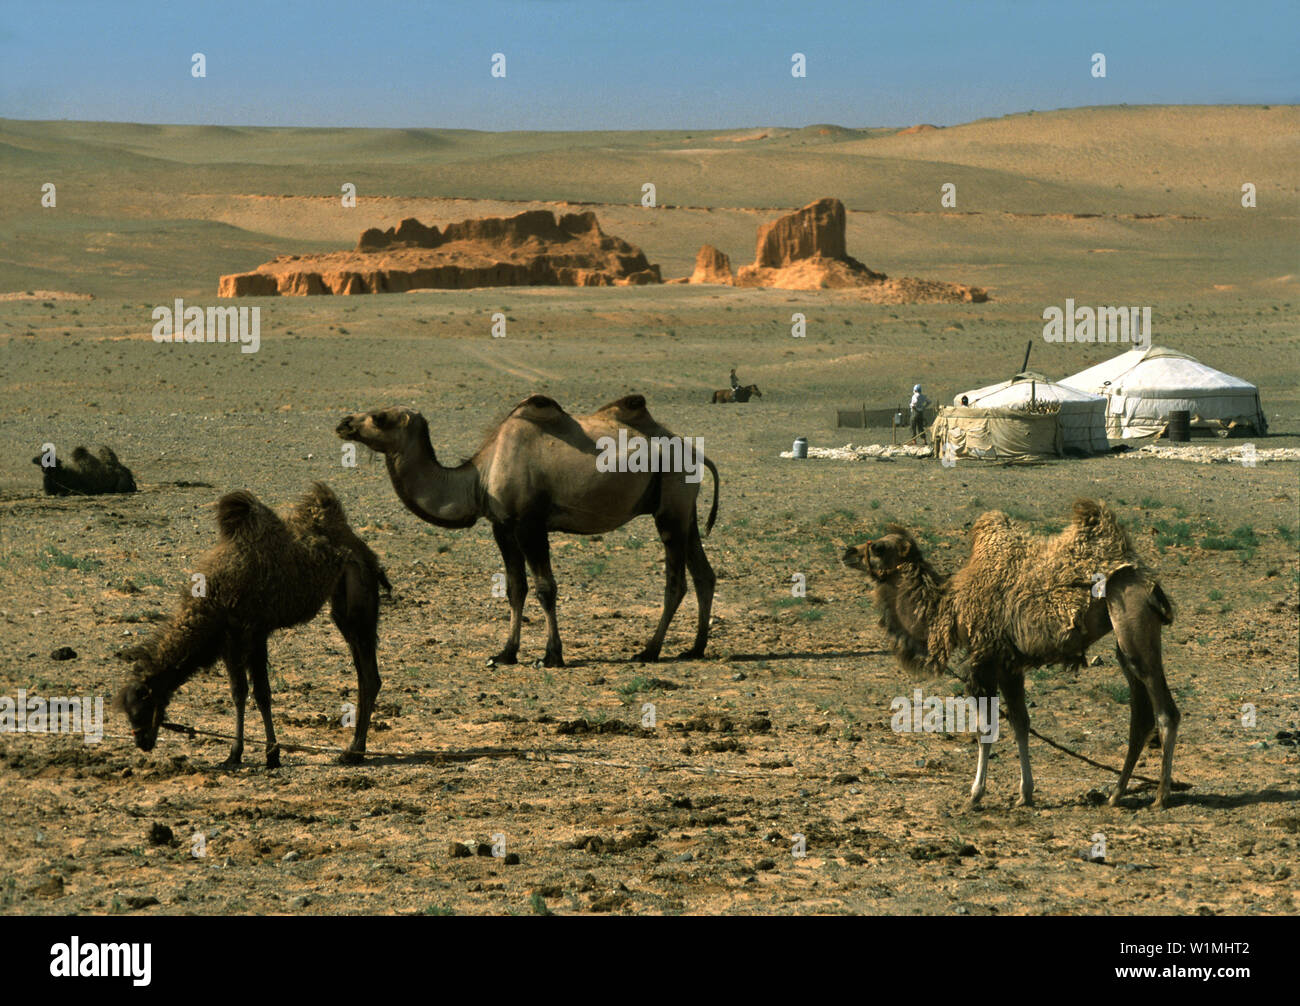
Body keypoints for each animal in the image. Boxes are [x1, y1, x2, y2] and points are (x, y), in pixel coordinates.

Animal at [116, 482, 389, 767]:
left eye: (140, 709)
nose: (142, 742)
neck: (213, 602)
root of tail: (363, 550)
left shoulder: (252, 632)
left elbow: (258, 693)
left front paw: (264, 754)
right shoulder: (233, 639)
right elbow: (243, 692)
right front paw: (243, 753)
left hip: (357, 600)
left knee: (369, 675)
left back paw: (353, 752)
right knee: (364, 673)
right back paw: (354, 749)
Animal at [336, 393, 718, 667]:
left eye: (380, 417)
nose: (344, 423)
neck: (479, 476)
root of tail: (695, 452)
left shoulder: (530, 525)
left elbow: (545, 588)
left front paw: (551, 656)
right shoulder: (502, 527)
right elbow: (514, 589)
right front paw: (505, 653)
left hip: (671, 507)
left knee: (676, 581)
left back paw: (650, 650)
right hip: (685, 510)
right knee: (704, 574)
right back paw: (695, 648)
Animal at [843, 499, 1179, 809]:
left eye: (879, 547)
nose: (847, 552)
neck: (950, 608)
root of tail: (1147, 579)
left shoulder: (984, 660)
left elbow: (985, 729)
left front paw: (975, 795)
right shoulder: (1009, 665)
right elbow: (1021, 723)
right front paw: (1025, 794)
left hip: (1133, 621)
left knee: (1166, 711)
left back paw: (1160, 796)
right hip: (1126, 641)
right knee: (1140, 715)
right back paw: (1116, 794)